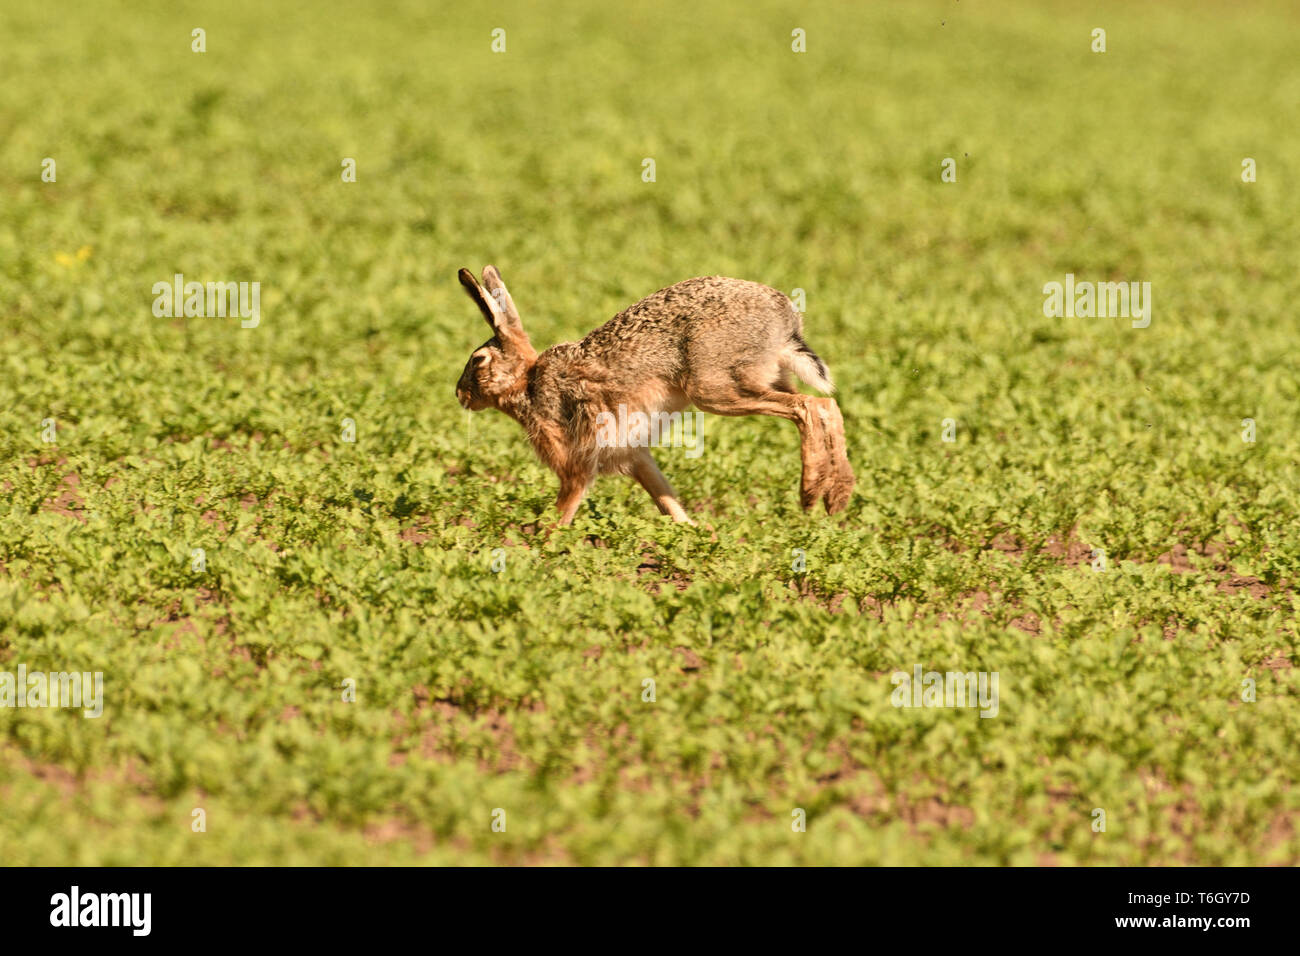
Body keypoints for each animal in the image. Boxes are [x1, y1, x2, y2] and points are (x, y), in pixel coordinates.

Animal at [455, 265, 854, 525]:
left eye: (478, 360)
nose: (459, 394)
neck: (528, 383)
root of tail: (785, 320)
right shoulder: (635, 455)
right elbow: (667, 500)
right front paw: (692, 535)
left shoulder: (576, 465)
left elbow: (564, 510)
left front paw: (542, 546)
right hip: (762, 380)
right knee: (827, 406)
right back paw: (837, 497)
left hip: (714, 388)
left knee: (809, 406)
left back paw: (811, 493)